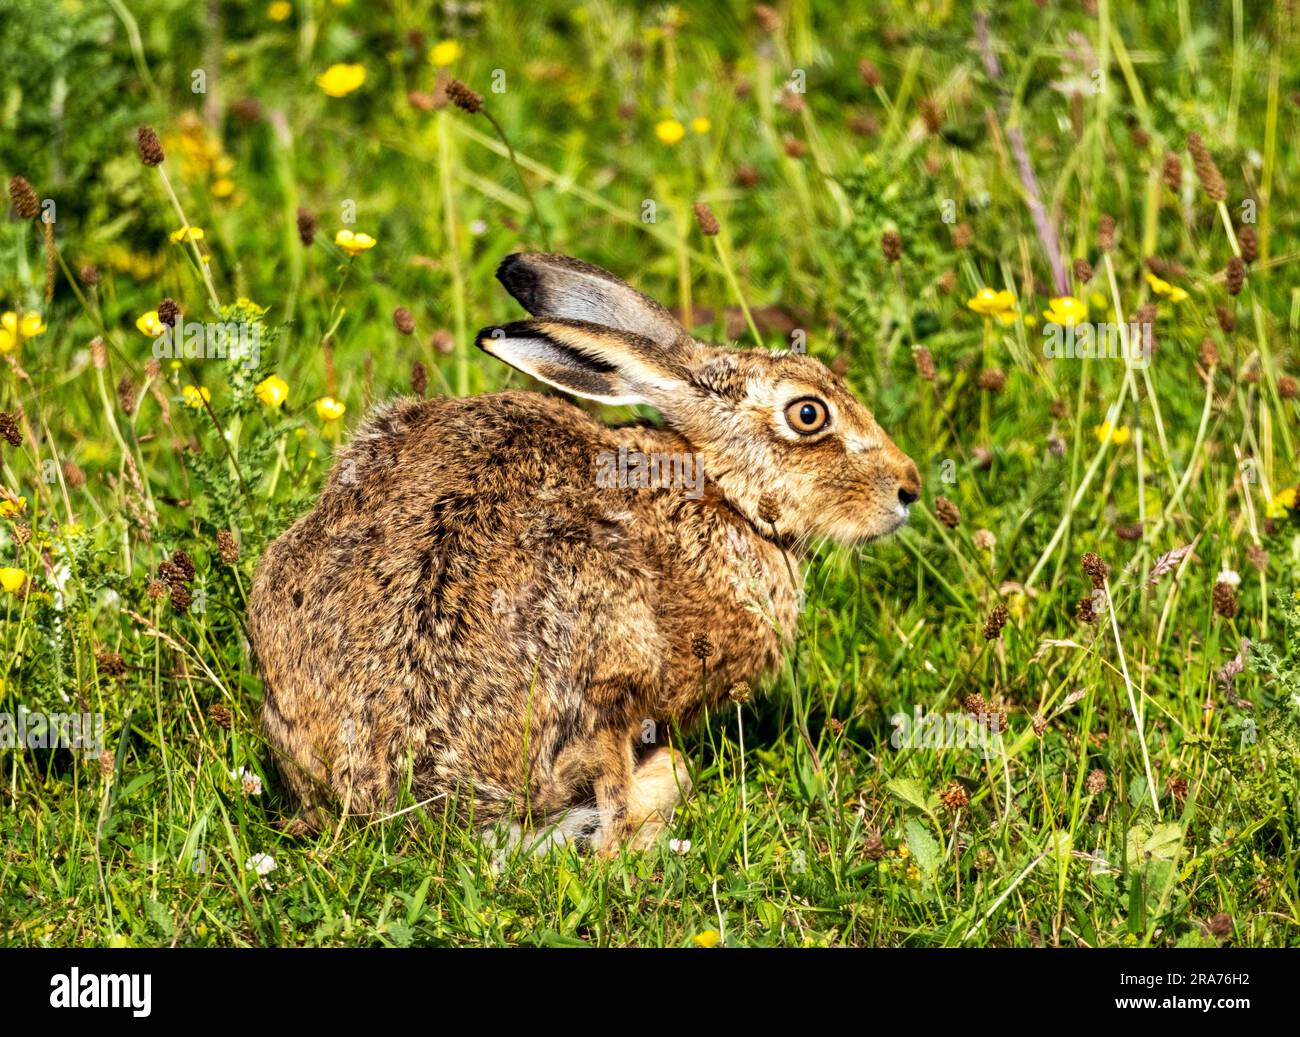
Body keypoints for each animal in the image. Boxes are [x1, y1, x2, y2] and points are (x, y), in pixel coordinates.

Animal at [248, 252, 920, 853]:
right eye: (808, 414)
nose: (909, 487)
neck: (721, 488)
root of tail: (426, 786)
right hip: (612, 645)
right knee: (616, 816)